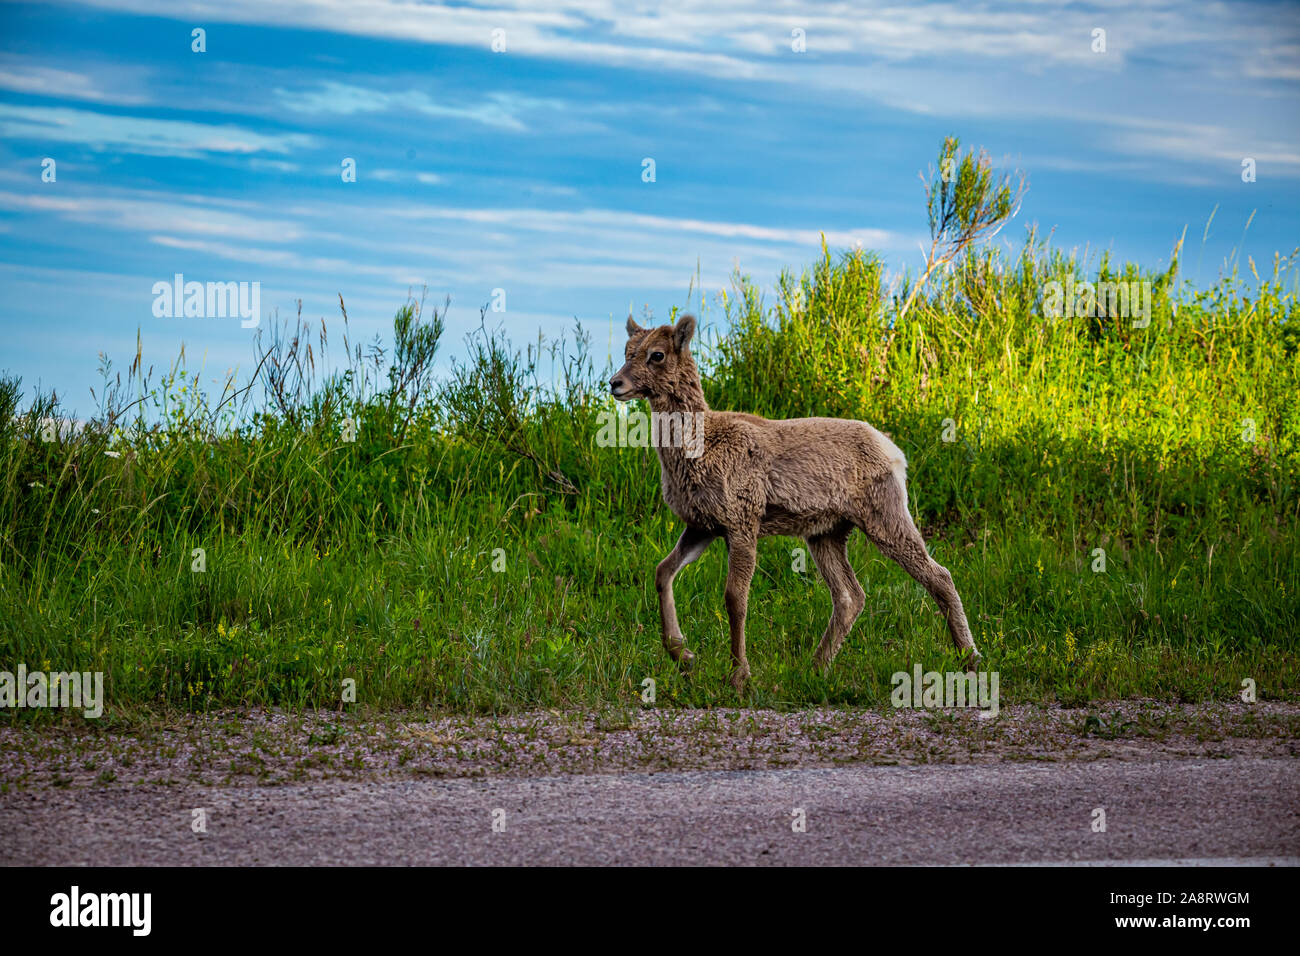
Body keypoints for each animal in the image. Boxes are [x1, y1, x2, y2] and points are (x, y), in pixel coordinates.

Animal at [610, 313, 980, 692]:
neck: (700, 447)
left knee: (938, 576)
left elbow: (735, 598)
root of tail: (894, 453)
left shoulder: (742, 524)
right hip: (826, 534)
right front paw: (683, 656)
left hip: (884, 519)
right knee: (850, 596)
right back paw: (815, 668)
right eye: (627, 350)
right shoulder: (703, 526)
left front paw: (738, 675)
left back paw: (970, 661)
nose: (615, 384)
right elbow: (663, 572)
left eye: (657, 355)